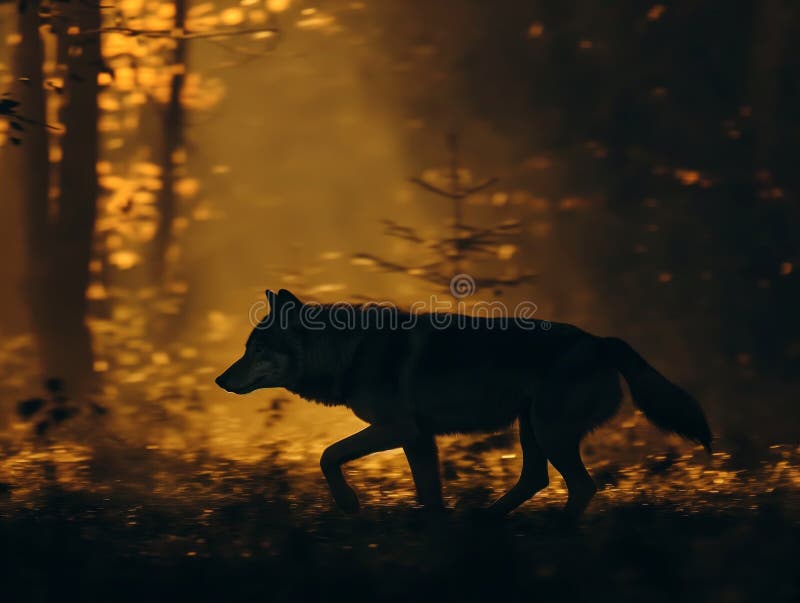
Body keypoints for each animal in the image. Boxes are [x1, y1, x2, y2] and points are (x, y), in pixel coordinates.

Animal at [216, 288, 712, 517]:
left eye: (255, 349)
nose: (220, 379)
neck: (348, 353)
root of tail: (602, 341)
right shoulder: (419, 439)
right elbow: (428, 493)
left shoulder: (401, 430)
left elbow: (327, 454)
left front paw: (348, 503)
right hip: (531, 428)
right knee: (537, 480)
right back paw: (487, 521)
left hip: (548, 432)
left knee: (581, 486)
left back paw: (554, 529)